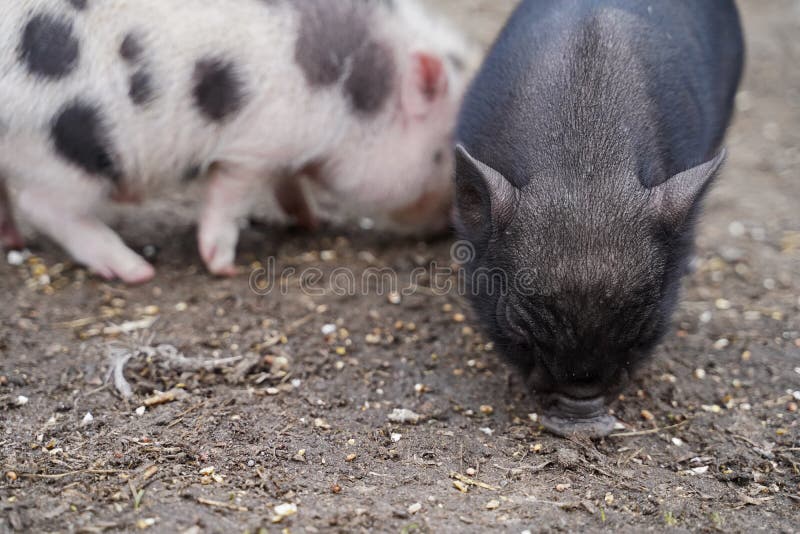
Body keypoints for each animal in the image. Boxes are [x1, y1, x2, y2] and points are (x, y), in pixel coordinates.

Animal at [0, 0, 475, 283]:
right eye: (442, 153)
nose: (448, 224)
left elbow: (287, 183)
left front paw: (311, 221)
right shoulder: (257, 142)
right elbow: (230, 195)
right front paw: (223, 267)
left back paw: (12, 242)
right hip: (70, 154)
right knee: (43, 206)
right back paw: (136, 270)